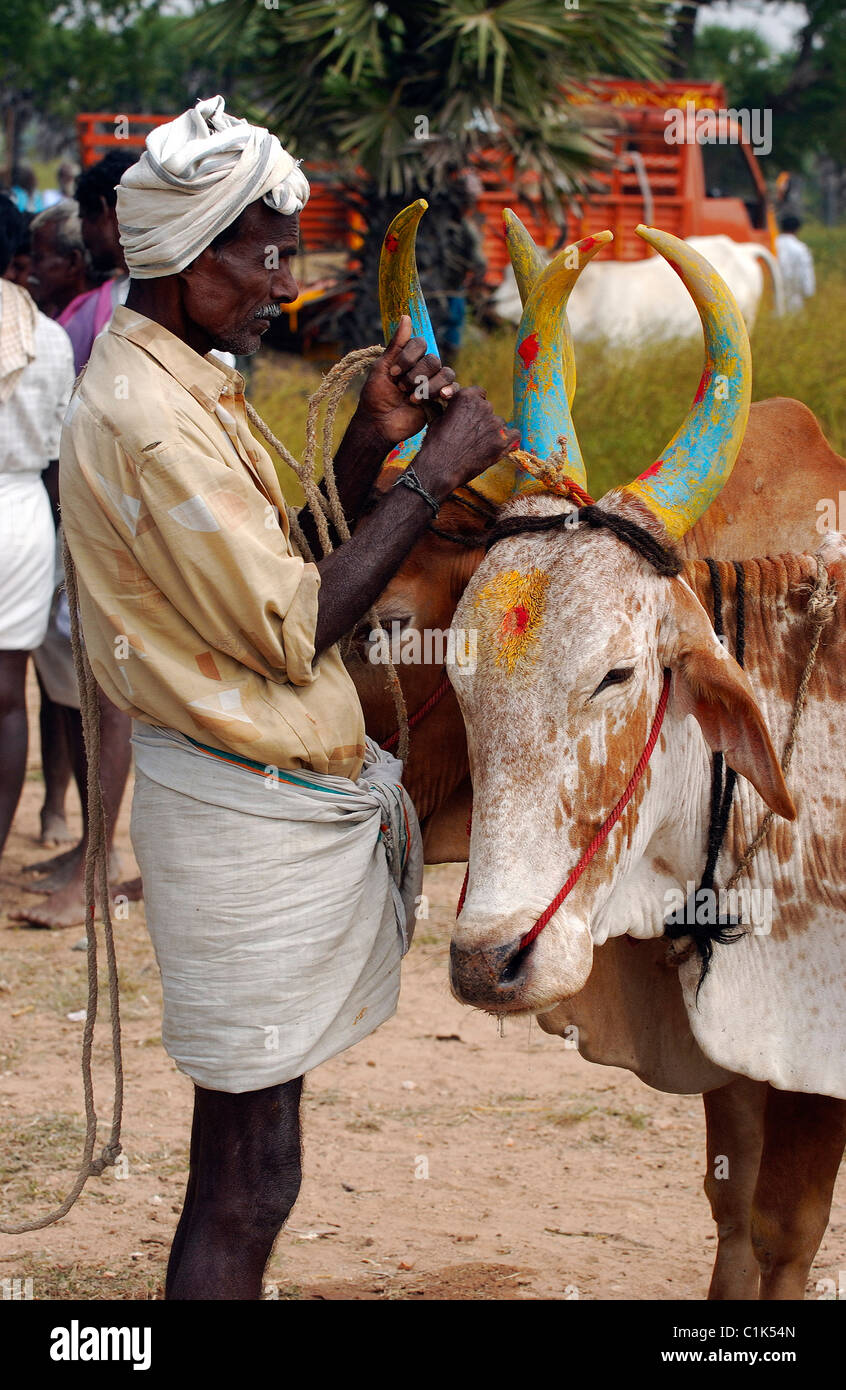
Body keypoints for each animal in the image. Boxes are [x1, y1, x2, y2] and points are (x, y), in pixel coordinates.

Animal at [348, 206, 846, 1298]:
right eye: (458, 667)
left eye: (618, 674)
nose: (489, 963)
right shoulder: (725, 1040)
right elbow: (732, 1213)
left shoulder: (810, 1054)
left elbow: (785, 1230)